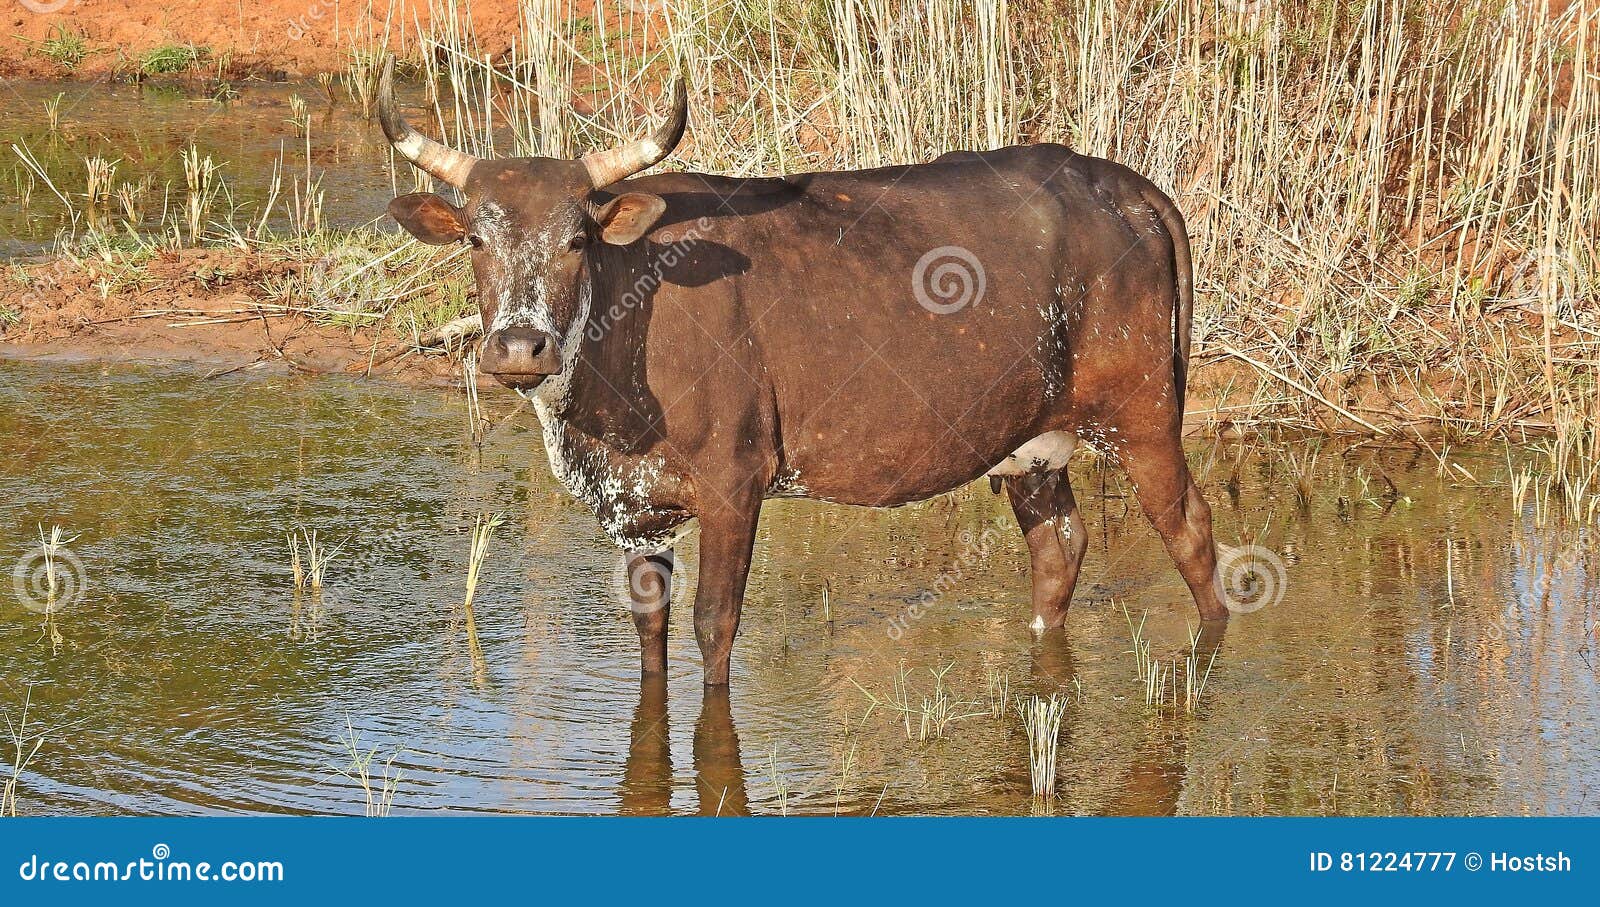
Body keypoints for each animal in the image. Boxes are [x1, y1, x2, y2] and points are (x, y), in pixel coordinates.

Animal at [375, 59, 1228, 686]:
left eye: (577, 239)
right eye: (476, 240)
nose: (520, 347)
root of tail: (1124, 185)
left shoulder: (735, 479)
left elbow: (714, 627)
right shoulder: (634, 510)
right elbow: (650, 633)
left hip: (1142, 416)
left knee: (1192, 531)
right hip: (1030, 446)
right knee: (1059, 549)